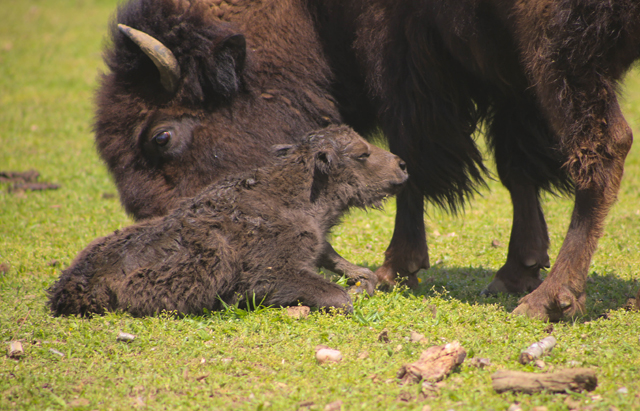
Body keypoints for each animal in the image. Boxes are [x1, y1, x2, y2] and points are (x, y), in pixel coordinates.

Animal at [48, 126, 408, 317]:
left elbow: (336, 259)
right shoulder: (270, 275)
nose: (403, 165)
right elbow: (338, 296)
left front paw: (365, 280)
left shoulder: (315, 245)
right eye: (362, 154)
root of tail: (67, 287)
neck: (300, 193)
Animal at [95, 0, 640, 321]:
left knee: (606, 145)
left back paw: (549, 301)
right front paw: (515, 269)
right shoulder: (508, 71)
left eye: (161, 136)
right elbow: (515, 165)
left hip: (562, 49)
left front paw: (394, 269)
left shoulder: (401, 51)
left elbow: (408, 155)